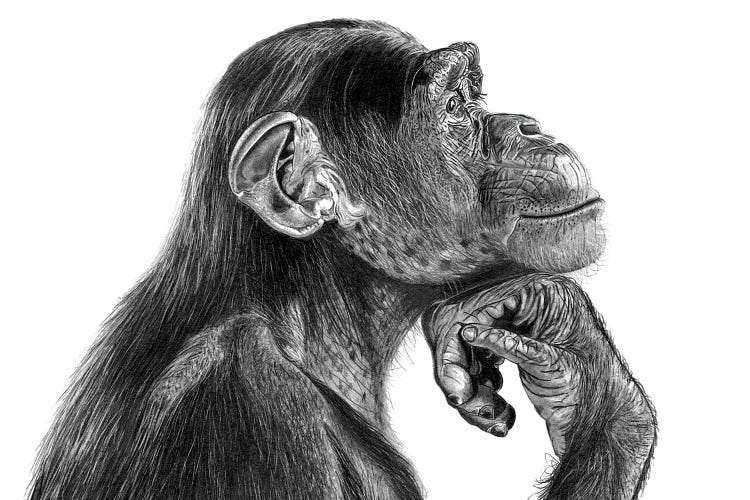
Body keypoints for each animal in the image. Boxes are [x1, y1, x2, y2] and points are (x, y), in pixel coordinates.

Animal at [29, 19, 656, 500]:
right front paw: (602, 399)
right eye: (455, 105)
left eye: (476, 96)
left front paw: (560, 335)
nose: (529, 125)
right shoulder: (253, 409)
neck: (303, 311)